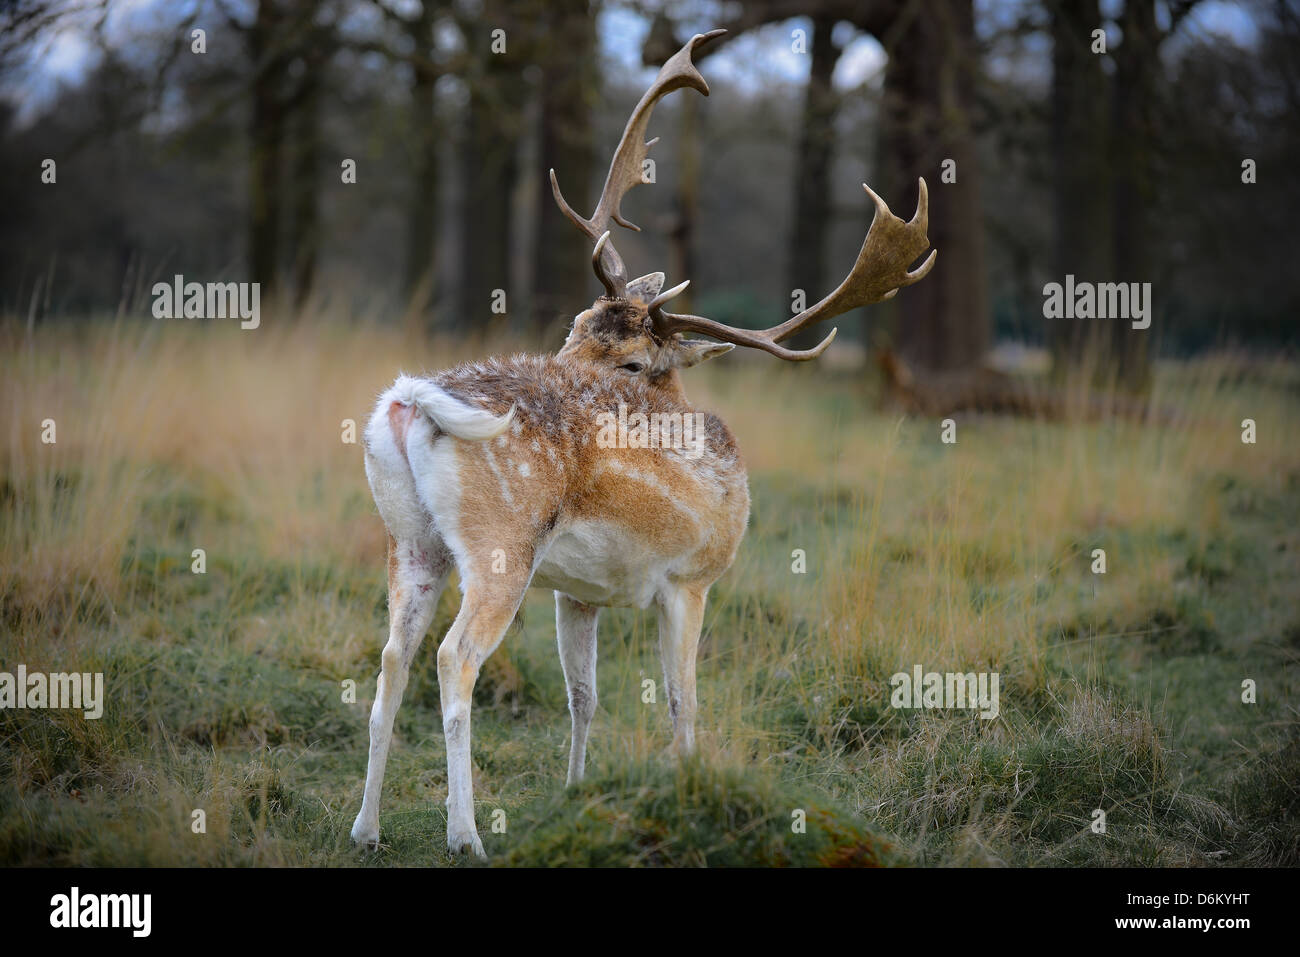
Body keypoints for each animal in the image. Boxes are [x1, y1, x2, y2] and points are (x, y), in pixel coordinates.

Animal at [350, 29, 935, 858]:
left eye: (623, 356)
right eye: (574, 331)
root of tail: (409, 400)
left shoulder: (578, 592)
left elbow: (584, 695)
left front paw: (575, 792)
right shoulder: (693, 576)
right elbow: (683, 700)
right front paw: (687, 784)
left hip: (409, 540)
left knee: (392, 657)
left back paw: (366, 826)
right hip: (501, 543)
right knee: (452, 659)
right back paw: (465, 835)